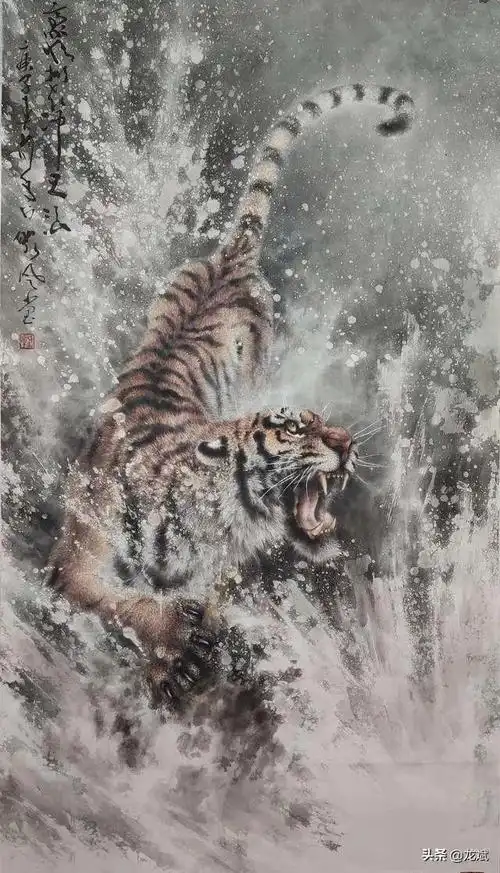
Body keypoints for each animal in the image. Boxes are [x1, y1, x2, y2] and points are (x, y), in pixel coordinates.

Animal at [46, 82, 414, 707]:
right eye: (294, 428)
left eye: (323, 422)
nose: (346, 443)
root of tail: (232, 251)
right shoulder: (74, 559)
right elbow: (115, 602)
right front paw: (171, 650)